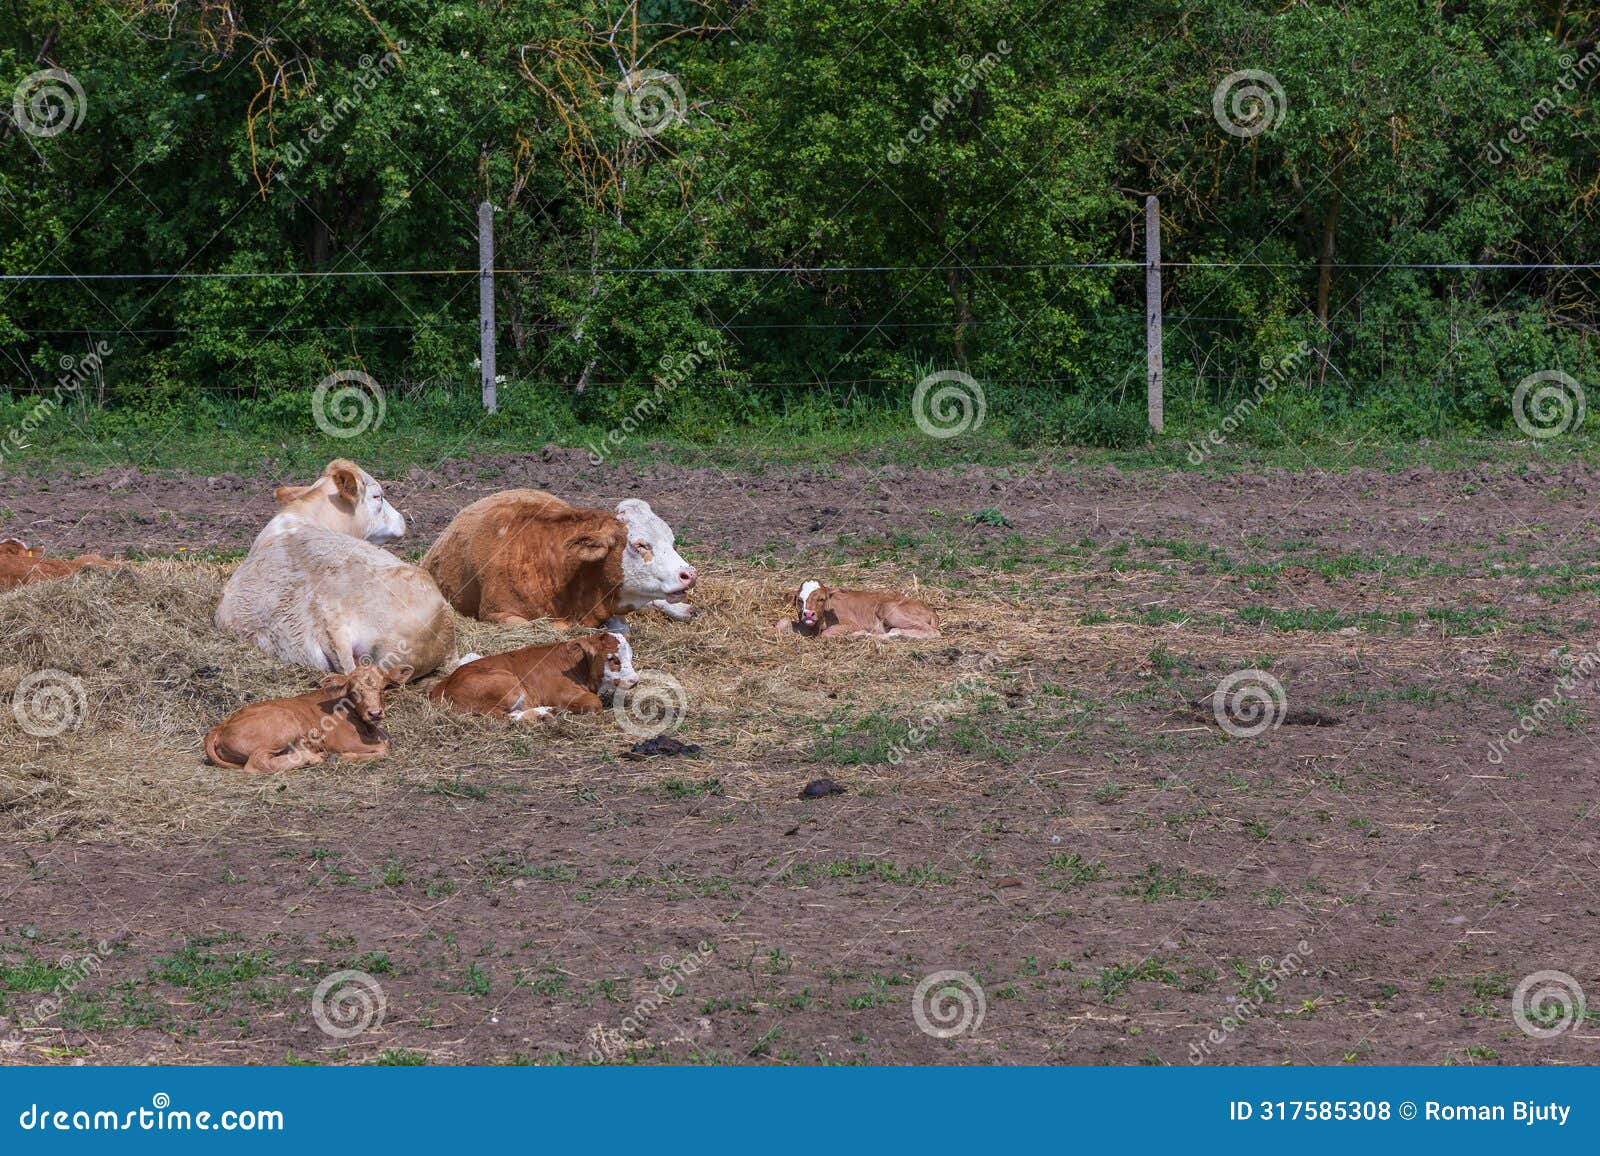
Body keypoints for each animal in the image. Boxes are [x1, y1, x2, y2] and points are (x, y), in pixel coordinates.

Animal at [203, 661, 411, 773]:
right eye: (354, 691)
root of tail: (220, 726)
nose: (375, 713)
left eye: (383, 688)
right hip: (283, 723)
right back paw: (312, 758)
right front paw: (342, 757)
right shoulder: (344, 741)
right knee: (257, 762)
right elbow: (383, 749)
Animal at [428, 632, 638, 721]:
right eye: (612, 658)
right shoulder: (563, 695)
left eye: (631, 656)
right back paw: (545, 713)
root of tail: (441, 686)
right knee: (501, 715)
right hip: (507, 683)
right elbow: (595, 703)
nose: (635, 680)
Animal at [777, 580, 941, 639]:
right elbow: (782, 622)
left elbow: (826, 634)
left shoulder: (852, 624)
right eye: (799, 600)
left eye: (821, 599)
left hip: (887, 609)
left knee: (932, 632)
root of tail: (931, 610)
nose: (808, 614)